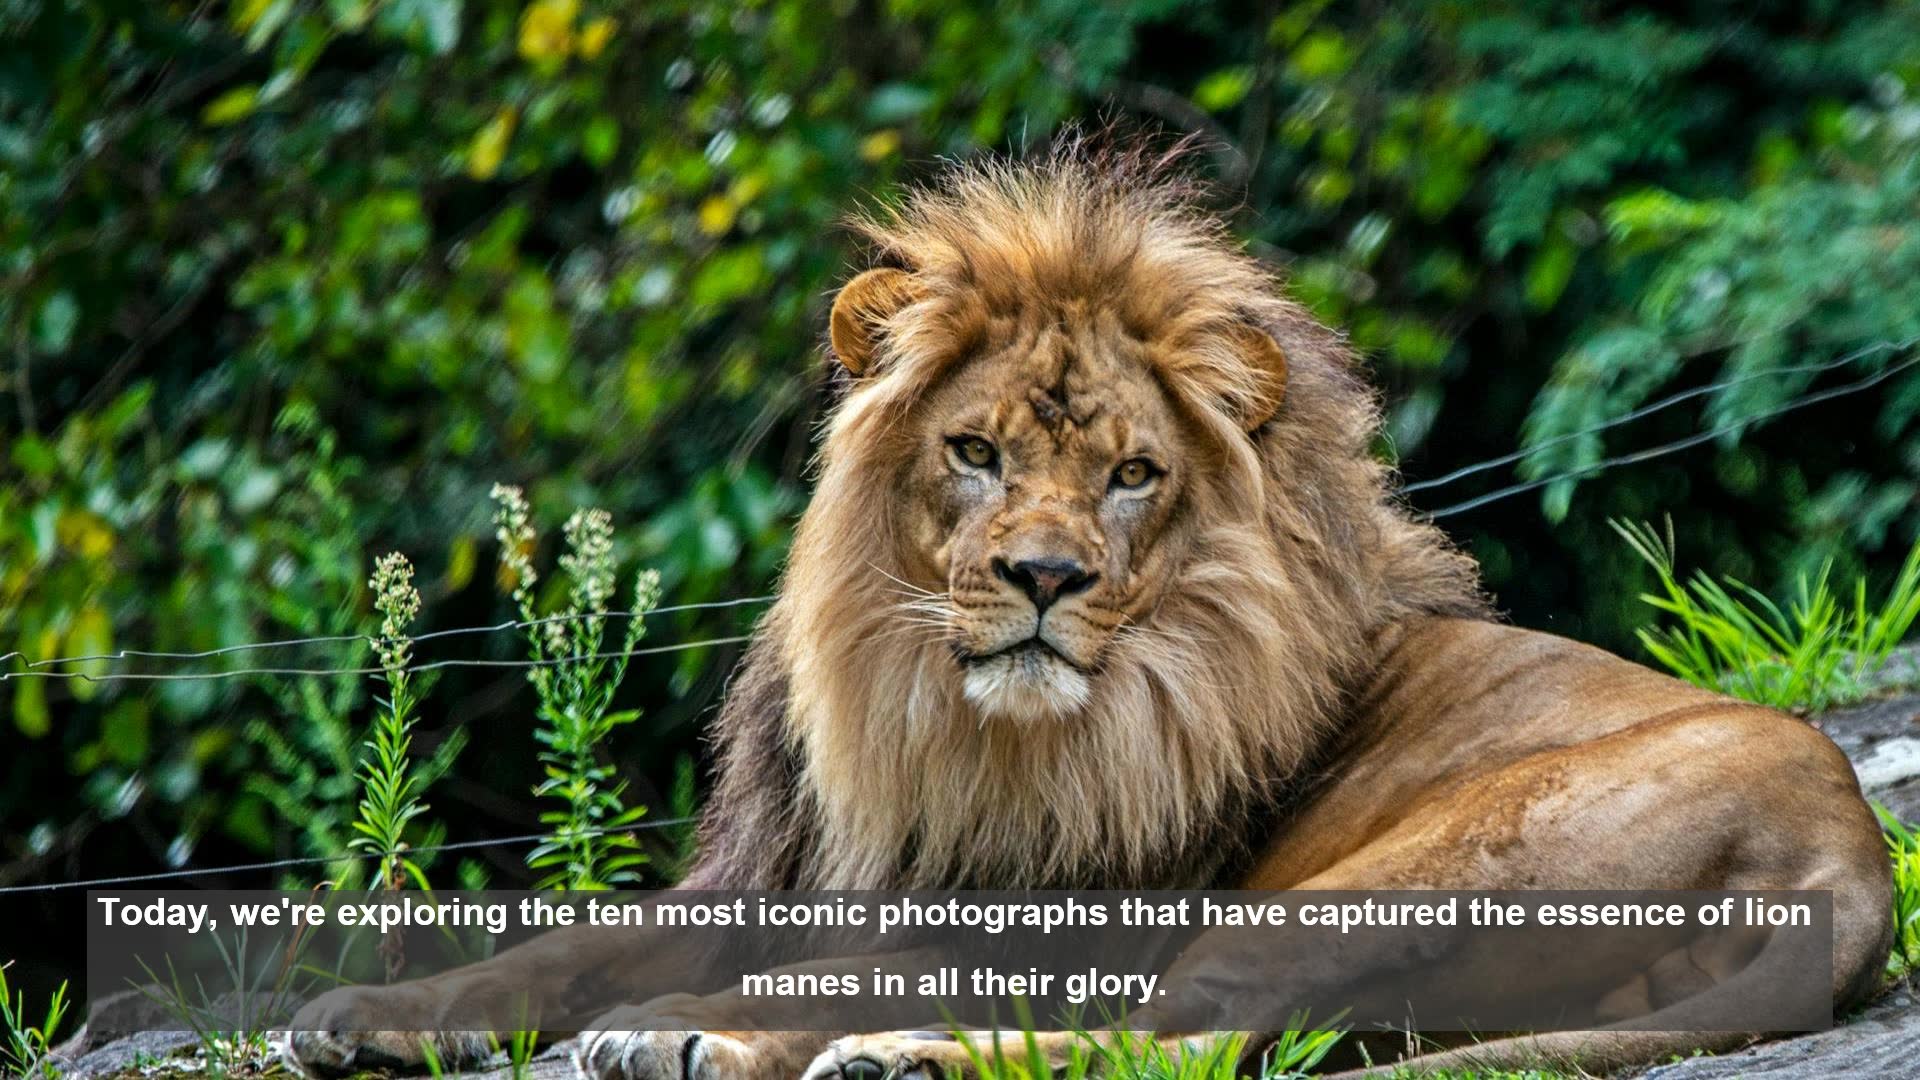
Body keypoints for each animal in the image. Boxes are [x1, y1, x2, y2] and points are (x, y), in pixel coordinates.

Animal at [282, 141, 1891, 1079]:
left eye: (1130, 476)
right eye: (975, 452)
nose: (1045, 580)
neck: (928, 725)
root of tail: (1849, 861)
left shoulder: (1048, 901)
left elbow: (823, 970)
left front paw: (686, 1026)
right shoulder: (793, 870)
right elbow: (568, 944)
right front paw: (366, 1017)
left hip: (1399, 872)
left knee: (1176, 1037)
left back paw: (860, 1053)